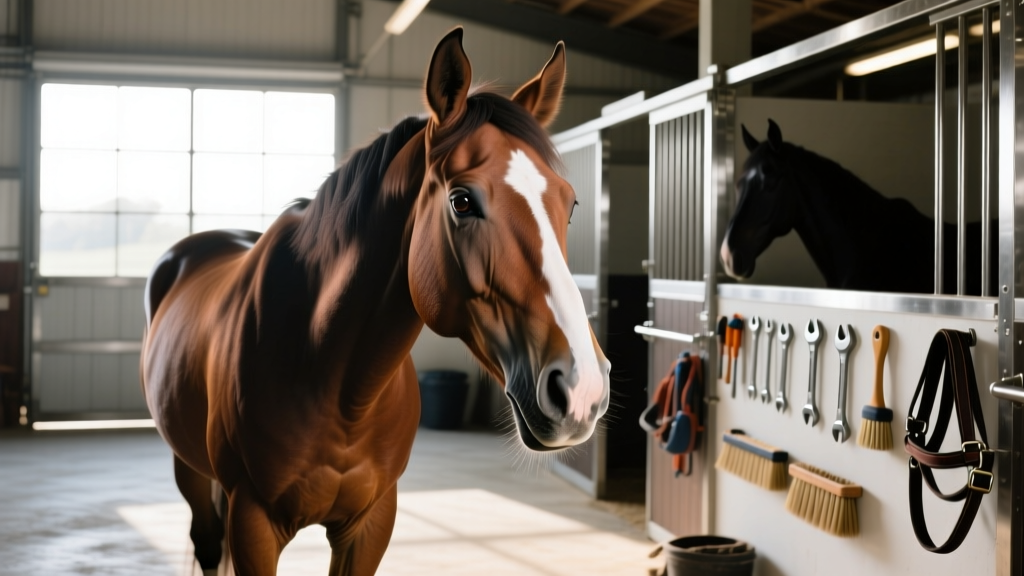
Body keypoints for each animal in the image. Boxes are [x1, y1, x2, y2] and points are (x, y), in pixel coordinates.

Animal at [141, 28, 610, 576]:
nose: (581, 389)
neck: (336, 385)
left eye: (570, 203)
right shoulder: (252, 523)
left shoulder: (371, 524)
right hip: (190, 471)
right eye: (462, 201)